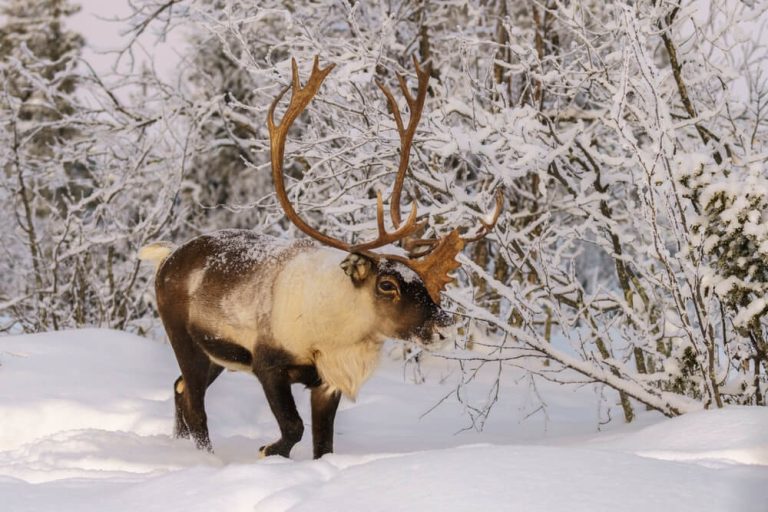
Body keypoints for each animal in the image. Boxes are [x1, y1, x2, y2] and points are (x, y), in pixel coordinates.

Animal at [139, 56, 502, 460]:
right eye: (386, 284)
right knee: (194, 402)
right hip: (184, 340)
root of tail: (167, 256)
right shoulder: (268, 364)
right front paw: (266, 450)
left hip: (215, 355)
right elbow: (293, 428)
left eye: (421, 281)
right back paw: (205, 456)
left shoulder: (327, 383)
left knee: (179, 388)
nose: (444, 325)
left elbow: (324, 445)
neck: (337, 330)